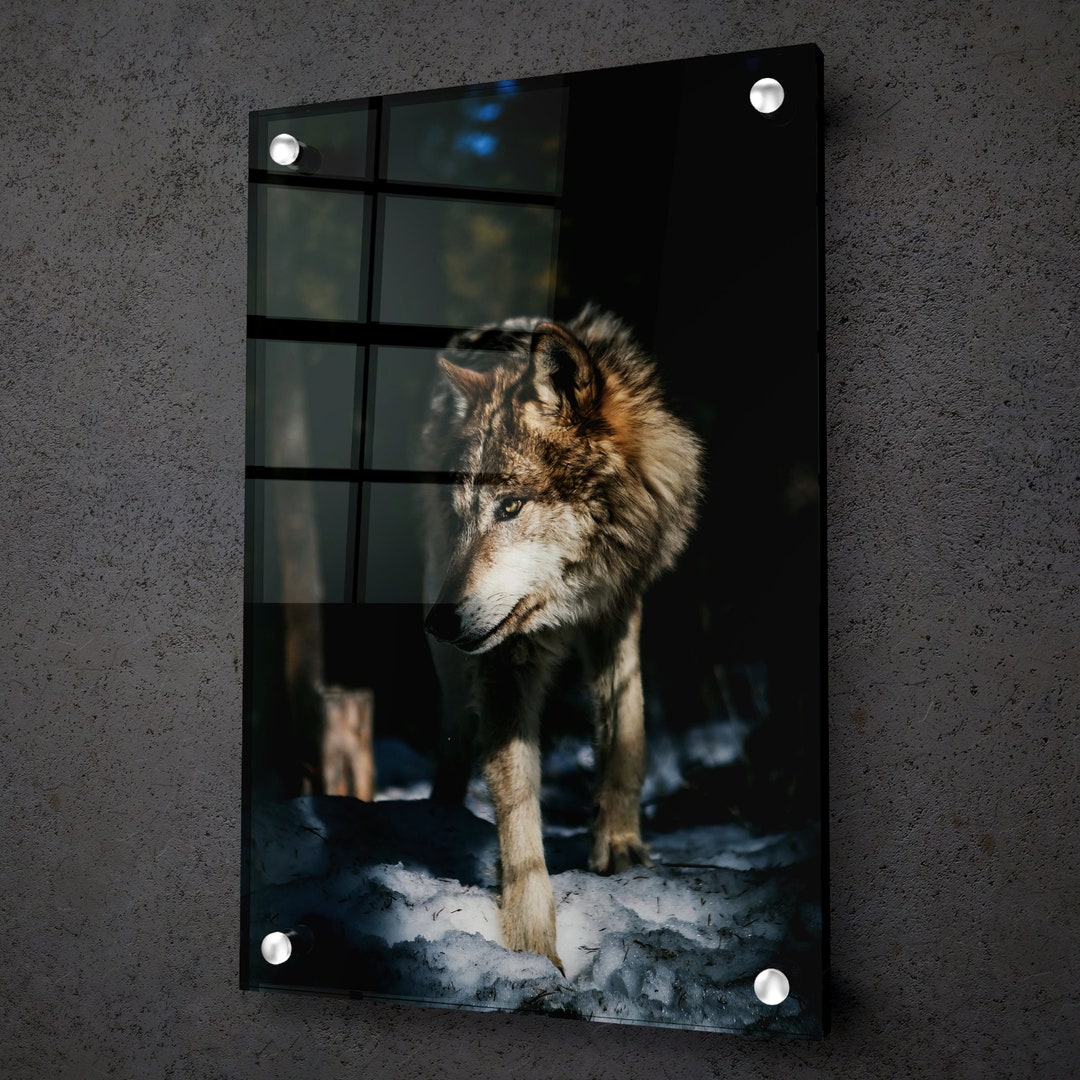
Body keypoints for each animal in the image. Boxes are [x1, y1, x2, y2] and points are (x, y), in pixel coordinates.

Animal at [420, 304, 703, 973]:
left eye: (510, 507)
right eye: (463, 515)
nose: (439, 619)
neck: (568, 599)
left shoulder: (618, 610)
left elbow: (628, 733)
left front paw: (620, 848)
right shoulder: (505, 659)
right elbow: (518, 809)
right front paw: (532, 948)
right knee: (454, 729)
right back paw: (440, 810)